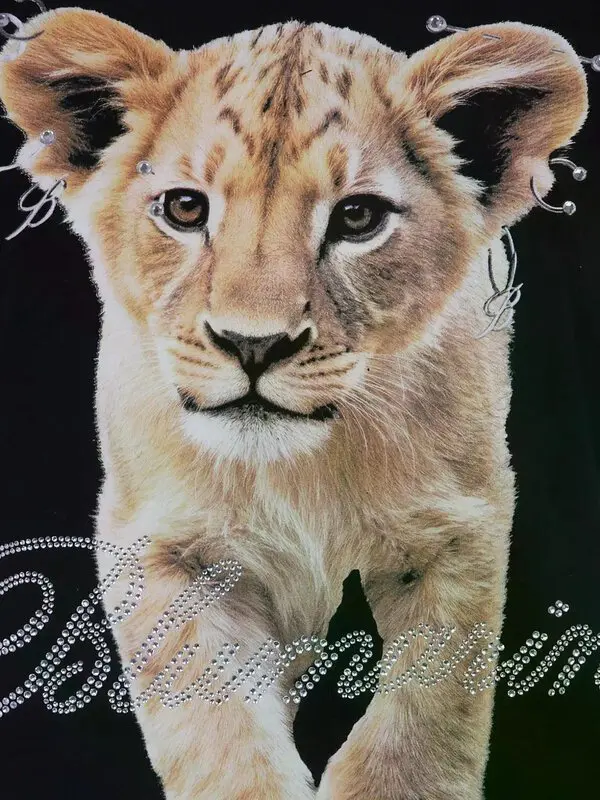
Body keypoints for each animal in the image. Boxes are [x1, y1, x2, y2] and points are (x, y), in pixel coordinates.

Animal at [0, 7, 588, 799]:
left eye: (358, 217)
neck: (299, 470)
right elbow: (214, 724)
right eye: (184, 208)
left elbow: (429, 701)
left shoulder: (461, 523)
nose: (253, 345)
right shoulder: (156, 540)